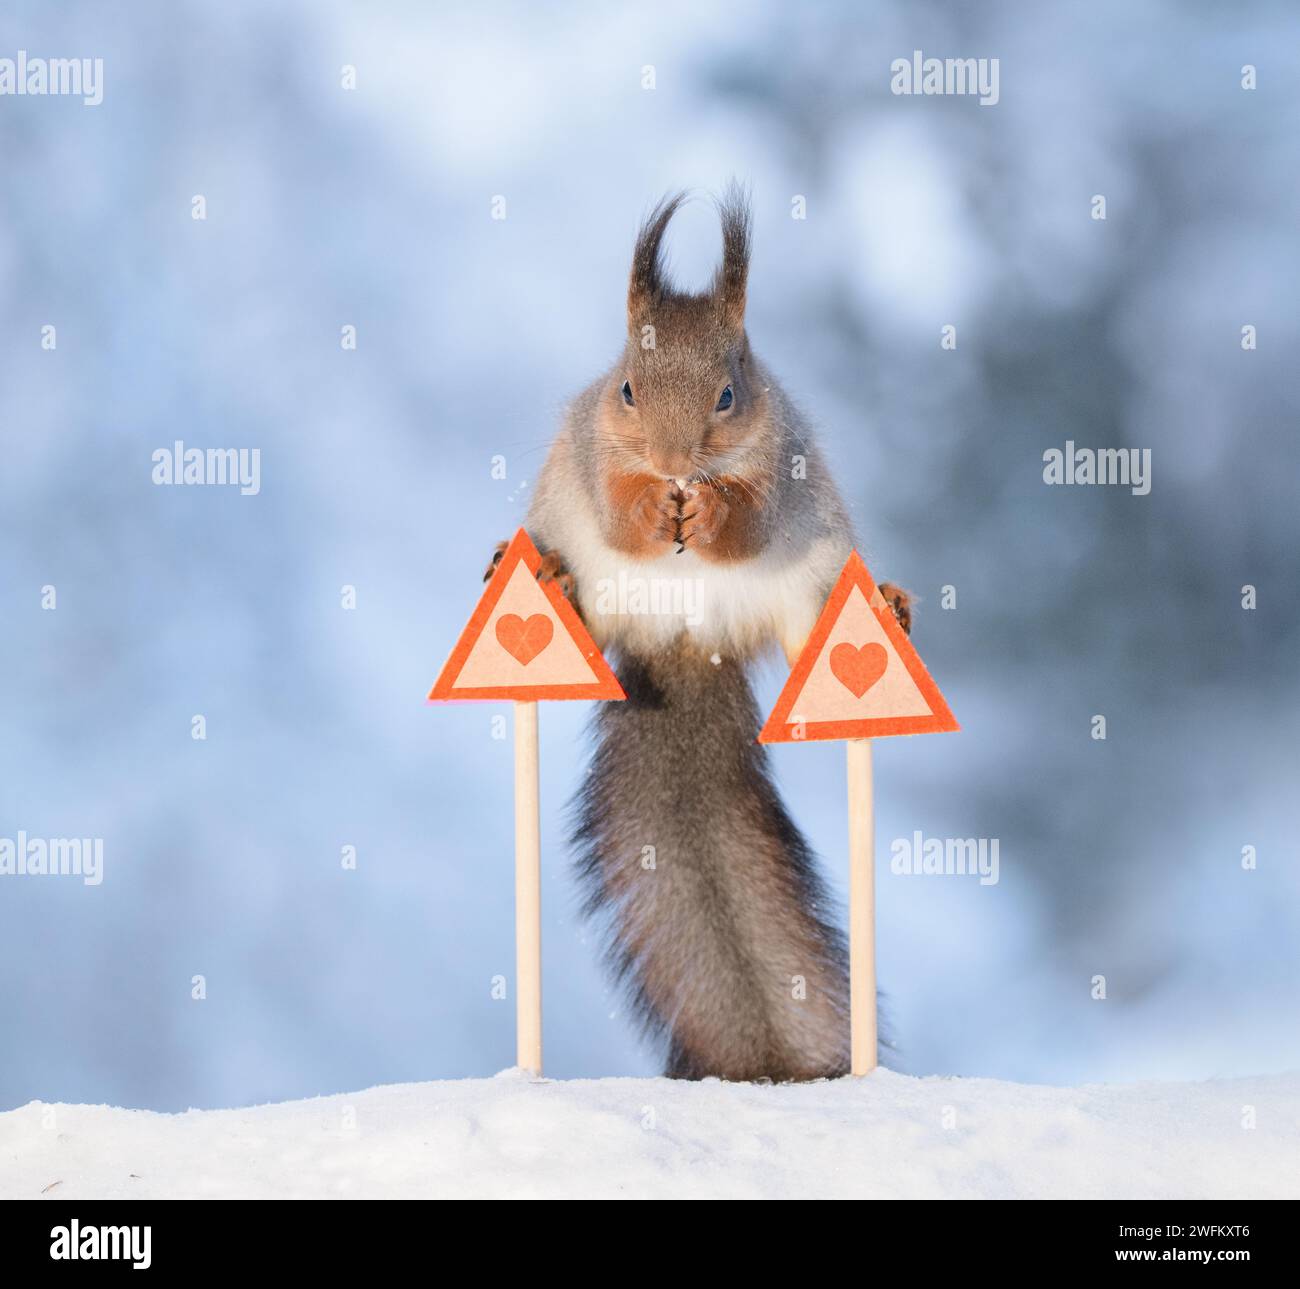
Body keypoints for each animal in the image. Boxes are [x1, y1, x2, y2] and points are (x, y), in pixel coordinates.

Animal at [486, 189, 912, 1081]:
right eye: (625, 389)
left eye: (727, 394)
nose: (675, 459)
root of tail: (686, 641)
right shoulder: (593, 457)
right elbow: (618, 511)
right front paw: (653, 507)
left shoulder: (779, 468)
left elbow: (747, 526)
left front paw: (710, 513)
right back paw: (552, 579)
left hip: (807, 584)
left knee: (811, 632)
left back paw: (884, 605)